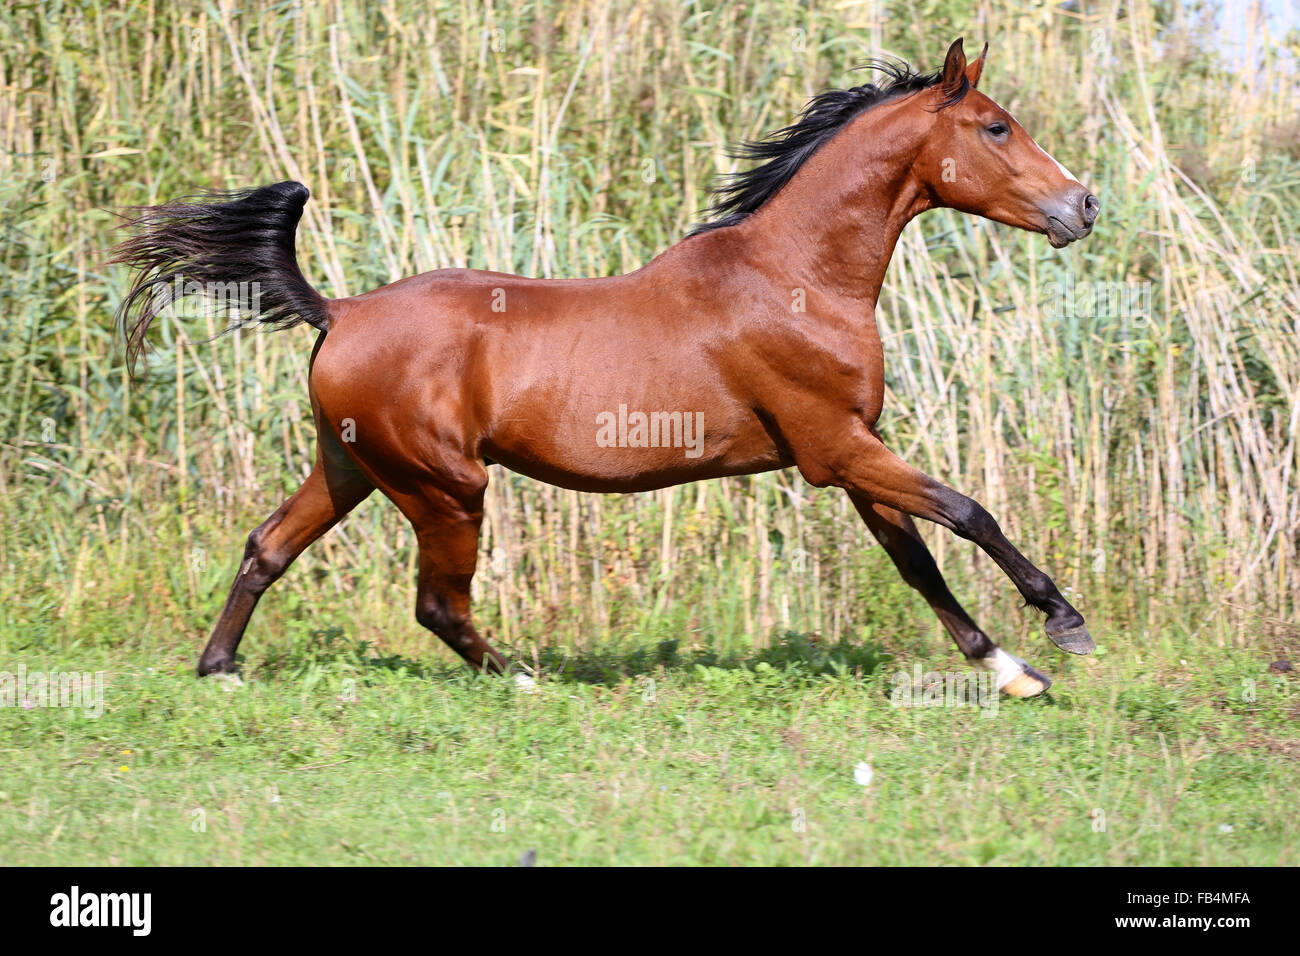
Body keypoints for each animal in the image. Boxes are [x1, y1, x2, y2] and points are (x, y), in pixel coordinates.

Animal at [113, 38, 1099, 697]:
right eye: (996, 126)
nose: (1084, 205)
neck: (795, 279)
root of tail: (341, 311)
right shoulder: (835, 448)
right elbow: (967, 512)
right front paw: (1064, 624)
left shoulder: (851, 451)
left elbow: (916, 559)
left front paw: (1012, 671)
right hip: (445, 488)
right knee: (437, 603)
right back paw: (523, 680)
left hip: (353, 465)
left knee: (267, 547)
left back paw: (221, 669)